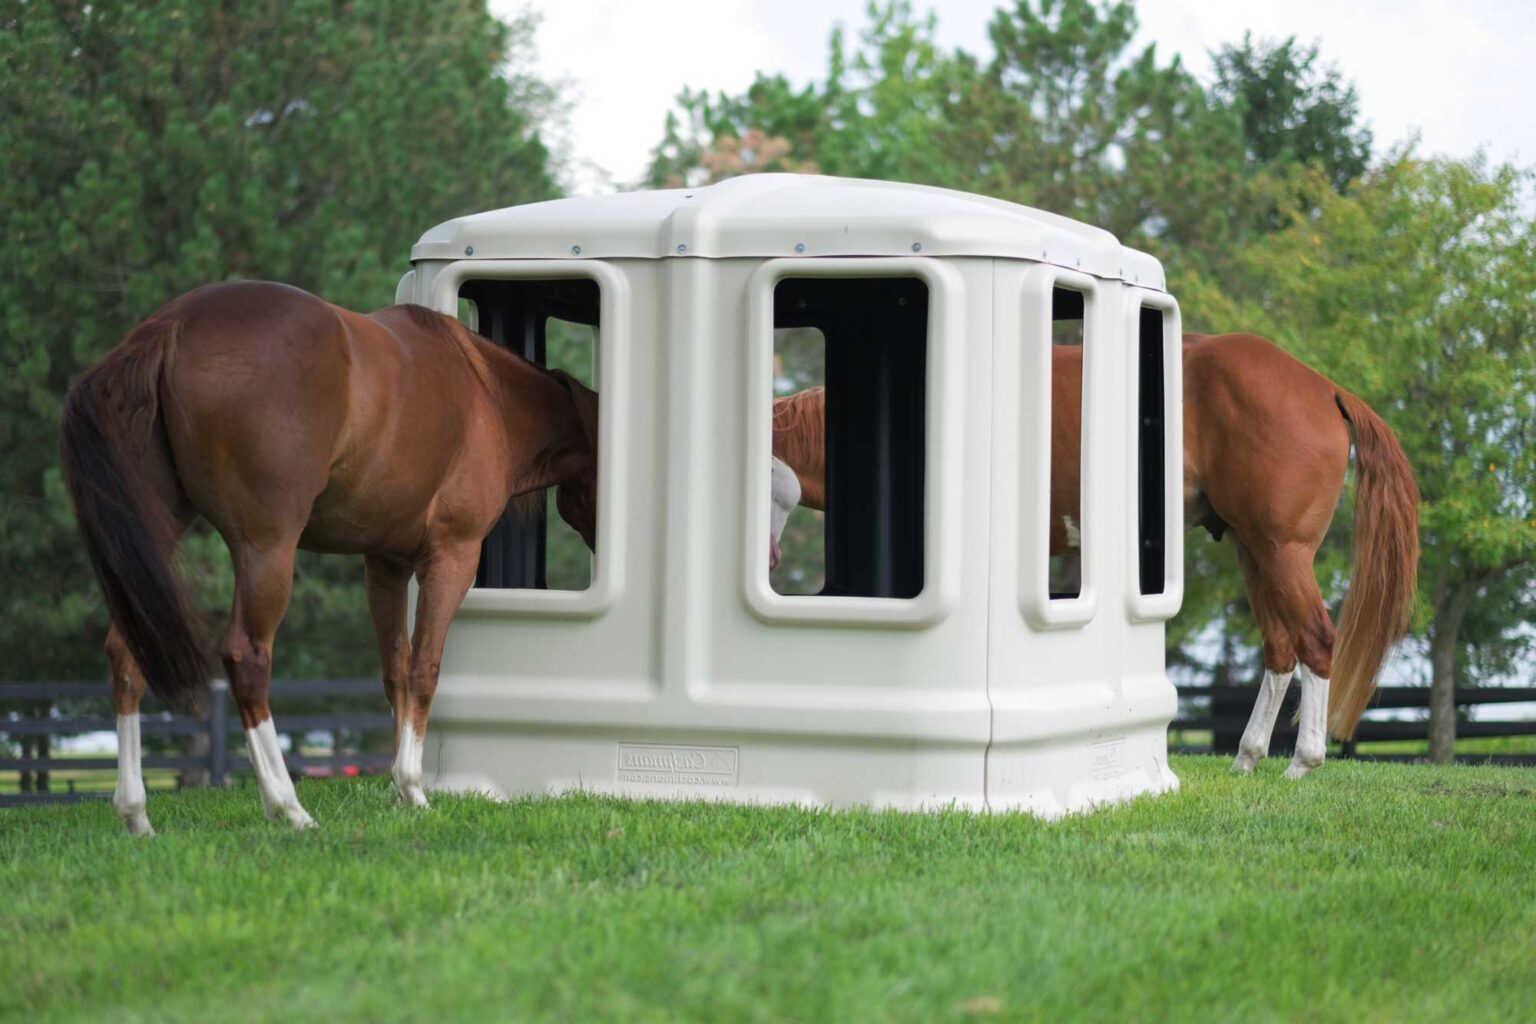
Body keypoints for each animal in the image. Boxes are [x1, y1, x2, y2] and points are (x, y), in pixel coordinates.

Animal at [60, 281, 599, 834]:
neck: (486, 393)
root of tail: (172, 325)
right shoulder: (451, 557)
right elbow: (424, 668)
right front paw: (413, 788)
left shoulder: (384, 564)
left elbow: (395, 670)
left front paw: (397, 791)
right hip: (266, 551)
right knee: (246, 657)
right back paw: (288, 806)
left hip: (158, 547)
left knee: (127, 656)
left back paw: (136, 814)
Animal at [770, 333, 1419, 778]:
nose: (770, 561)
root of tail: (1324, 388)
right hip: (1254, 551)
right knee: (1281, 649)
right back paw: (1247, 758)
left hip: (1282, 552)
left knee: (1317, 642)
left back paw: (1302, 762)